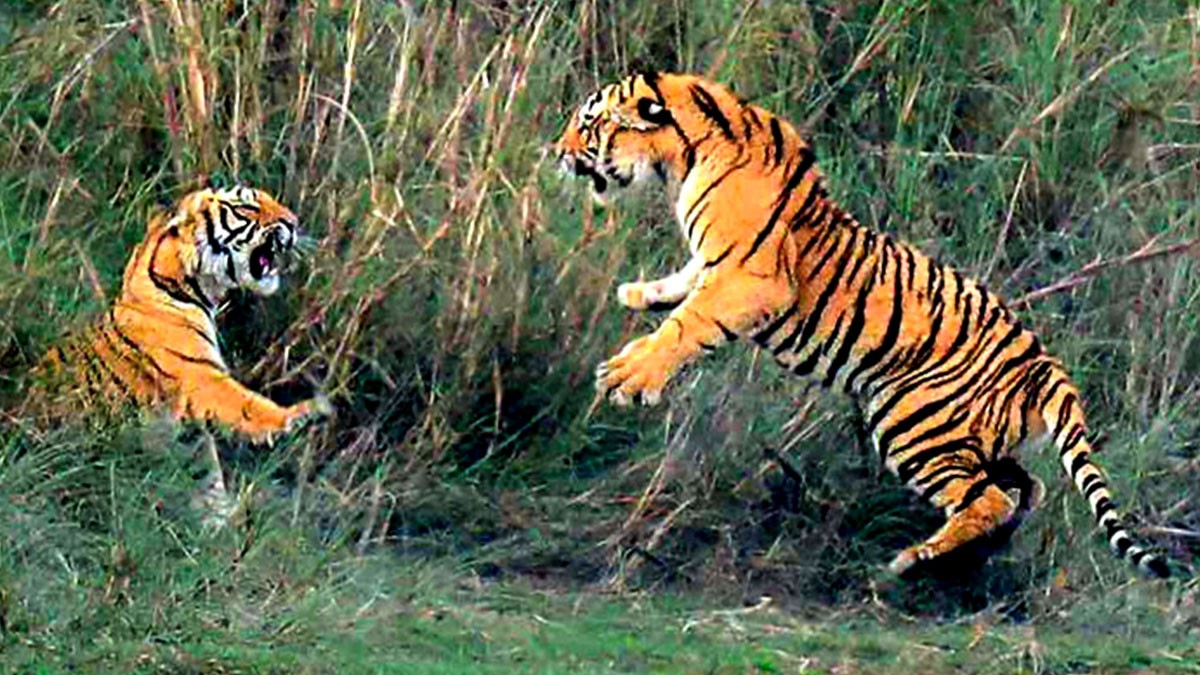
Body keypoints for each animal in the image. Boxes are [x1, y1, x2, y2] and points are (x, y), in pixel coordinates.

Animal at [554, 71, 1169, 578]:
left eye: (588, 123)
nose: (557, 153)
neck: (688, 154)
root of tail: (1045, 365)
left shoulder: (753, 278)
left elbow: (689, 323)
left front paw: (628, 378)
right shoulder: (714, 268)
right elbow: (683, 287)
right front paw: (639, 294)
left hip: (913, 422)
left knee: (989, 499)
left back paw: (914, 563)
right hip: (976, 438)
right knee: (1024, 490)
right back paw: (971, 557)